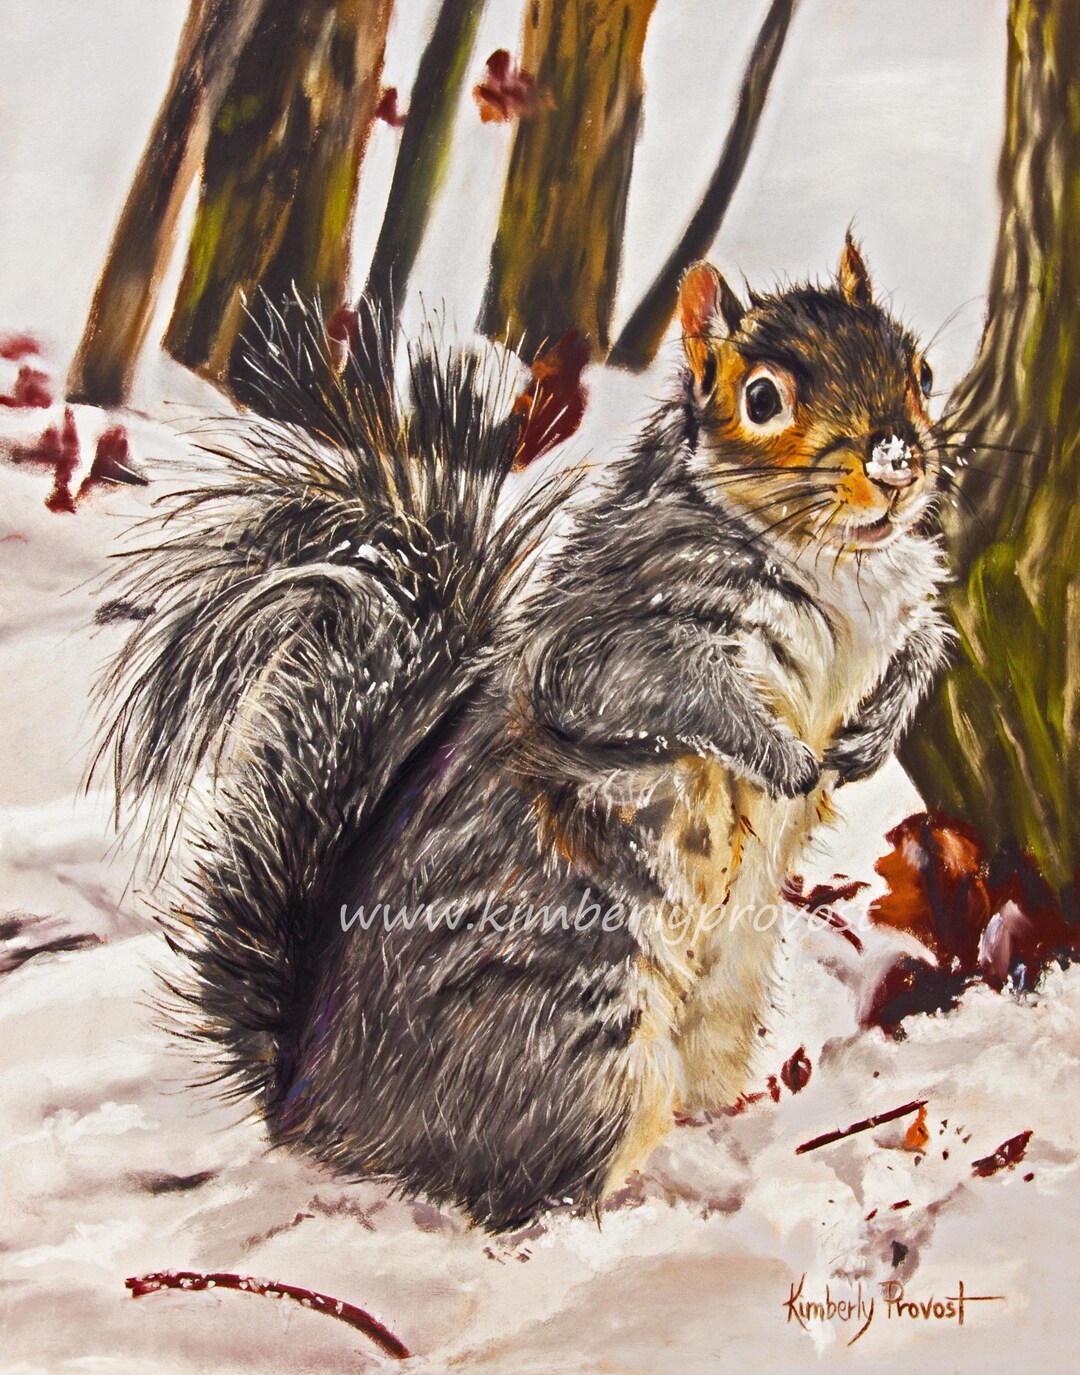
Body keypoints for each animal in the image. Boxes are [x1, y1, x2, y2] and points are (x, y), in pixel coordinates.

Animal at [102, 235, 951, 1232]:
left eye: (920, 371)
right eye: (763, 398)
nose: (897, 459)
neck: (836, 560)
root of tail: (316, 1105)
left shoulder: (893, 610)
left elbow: (922, 643)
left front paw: (870, 736)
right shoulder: (604, 642)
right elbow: (668, 688)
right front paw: (782, 755)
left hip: (720, 1010)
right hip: (582, 1034)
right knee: (523, 1192)